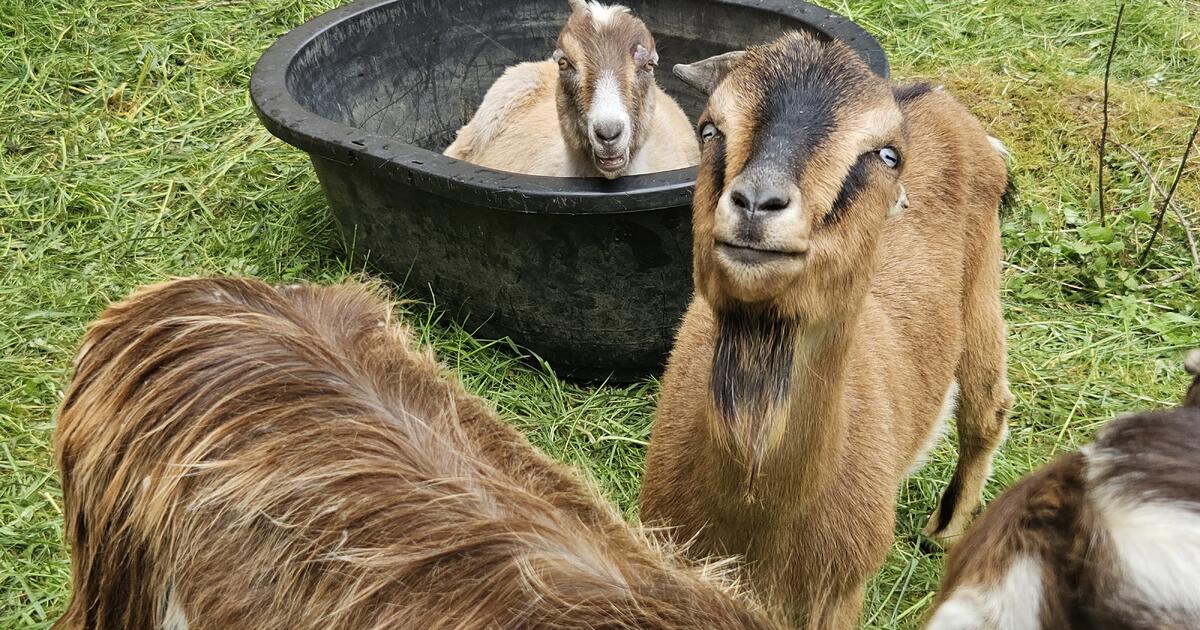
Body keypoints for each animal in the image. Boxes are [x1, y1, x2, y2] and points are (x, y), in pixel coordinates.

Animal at [639, 32, 1013, 628]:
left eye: (887, 154)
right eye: (709, 128)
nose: (757, 203)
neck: (758, 511)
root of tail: (945, 104)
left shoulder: (839, 594)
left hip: (982, 290)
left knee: (986, 409)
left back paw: (944, 532)